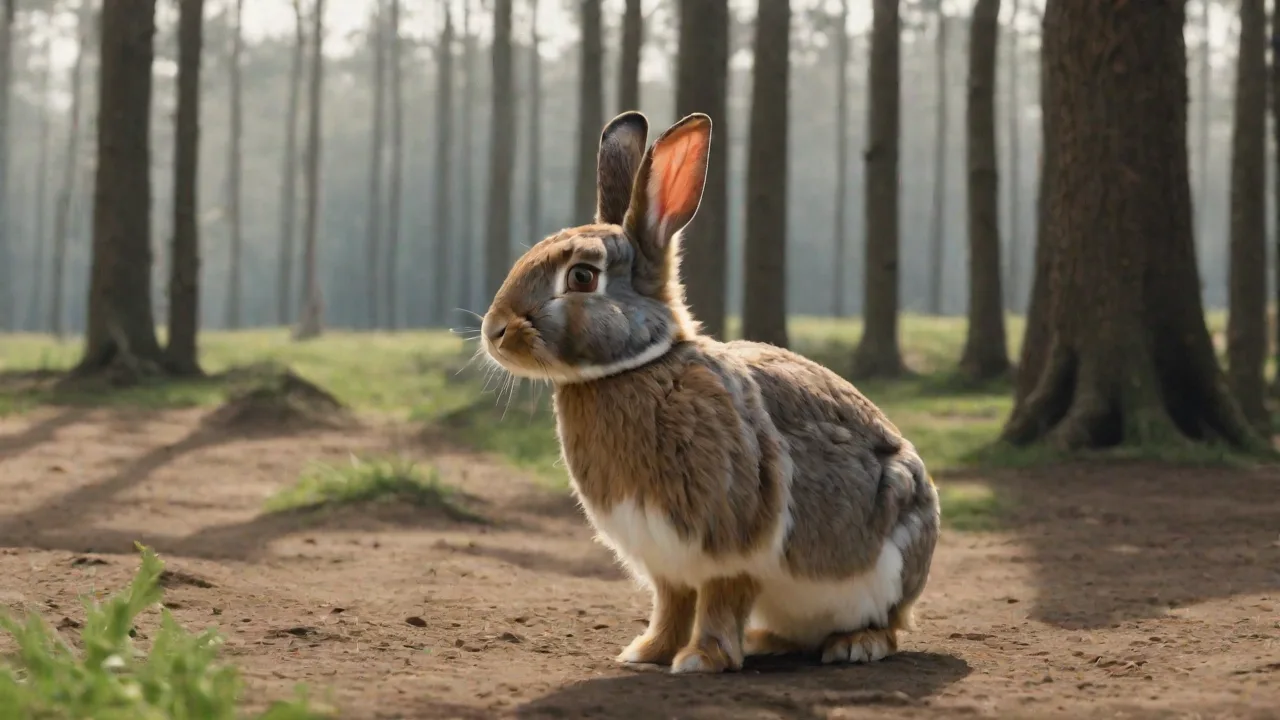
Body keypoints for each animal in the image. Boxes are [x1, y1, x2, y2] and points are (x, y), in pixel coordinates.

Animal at [480, 110, 940, 674]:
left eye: (583, 276)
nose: (494, 331)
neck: (638, 365)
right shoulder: (665, 559)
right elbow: (672, 603)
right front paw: (644, 653)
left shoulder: (731, 544)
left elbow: (721, 600)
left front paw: (700, 659)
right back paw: (767, 640)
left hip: (892, 549)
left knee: (891, 623)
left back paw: (855, 645)